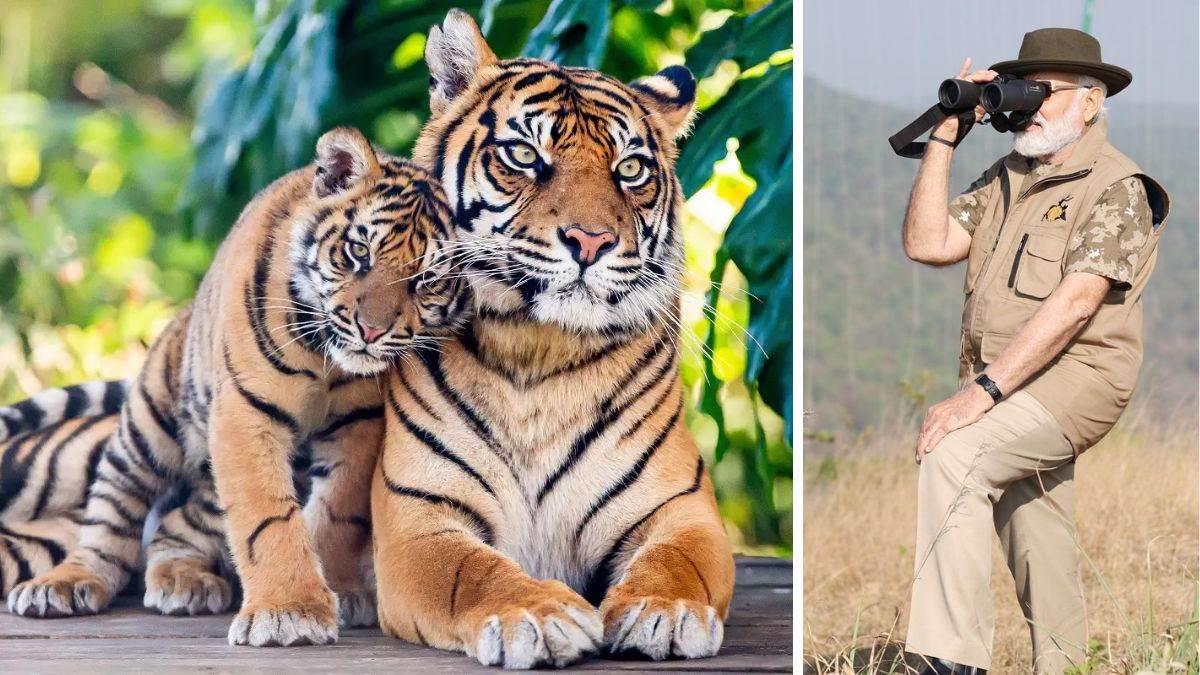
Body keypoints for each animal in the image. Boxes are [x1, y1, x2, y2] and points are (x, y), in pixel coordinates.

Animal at [2, 126, 468, 648]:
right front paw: (290, 612)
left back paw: (184, 579)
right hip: (147, 428)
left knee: (171, 526)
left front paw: (341, 592)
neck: (326, 357)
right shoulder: (246, 413)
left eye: (426, 279)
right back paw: (67, 583)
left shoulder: (360, 422)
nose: (371, 331)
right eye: (359, 252)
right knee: (111, 514)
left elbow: (337, 511)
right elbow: (265, 517)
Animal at [368, 9, 734, 669]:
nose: (591, 241)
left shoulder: (681, 508)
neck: (539, 347)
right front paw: (539, 614)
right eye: (522, 154)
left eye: (630, 169)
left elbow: (678, 561)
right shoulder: (419, 524)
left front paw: (663, 610)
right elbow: (471, 572)